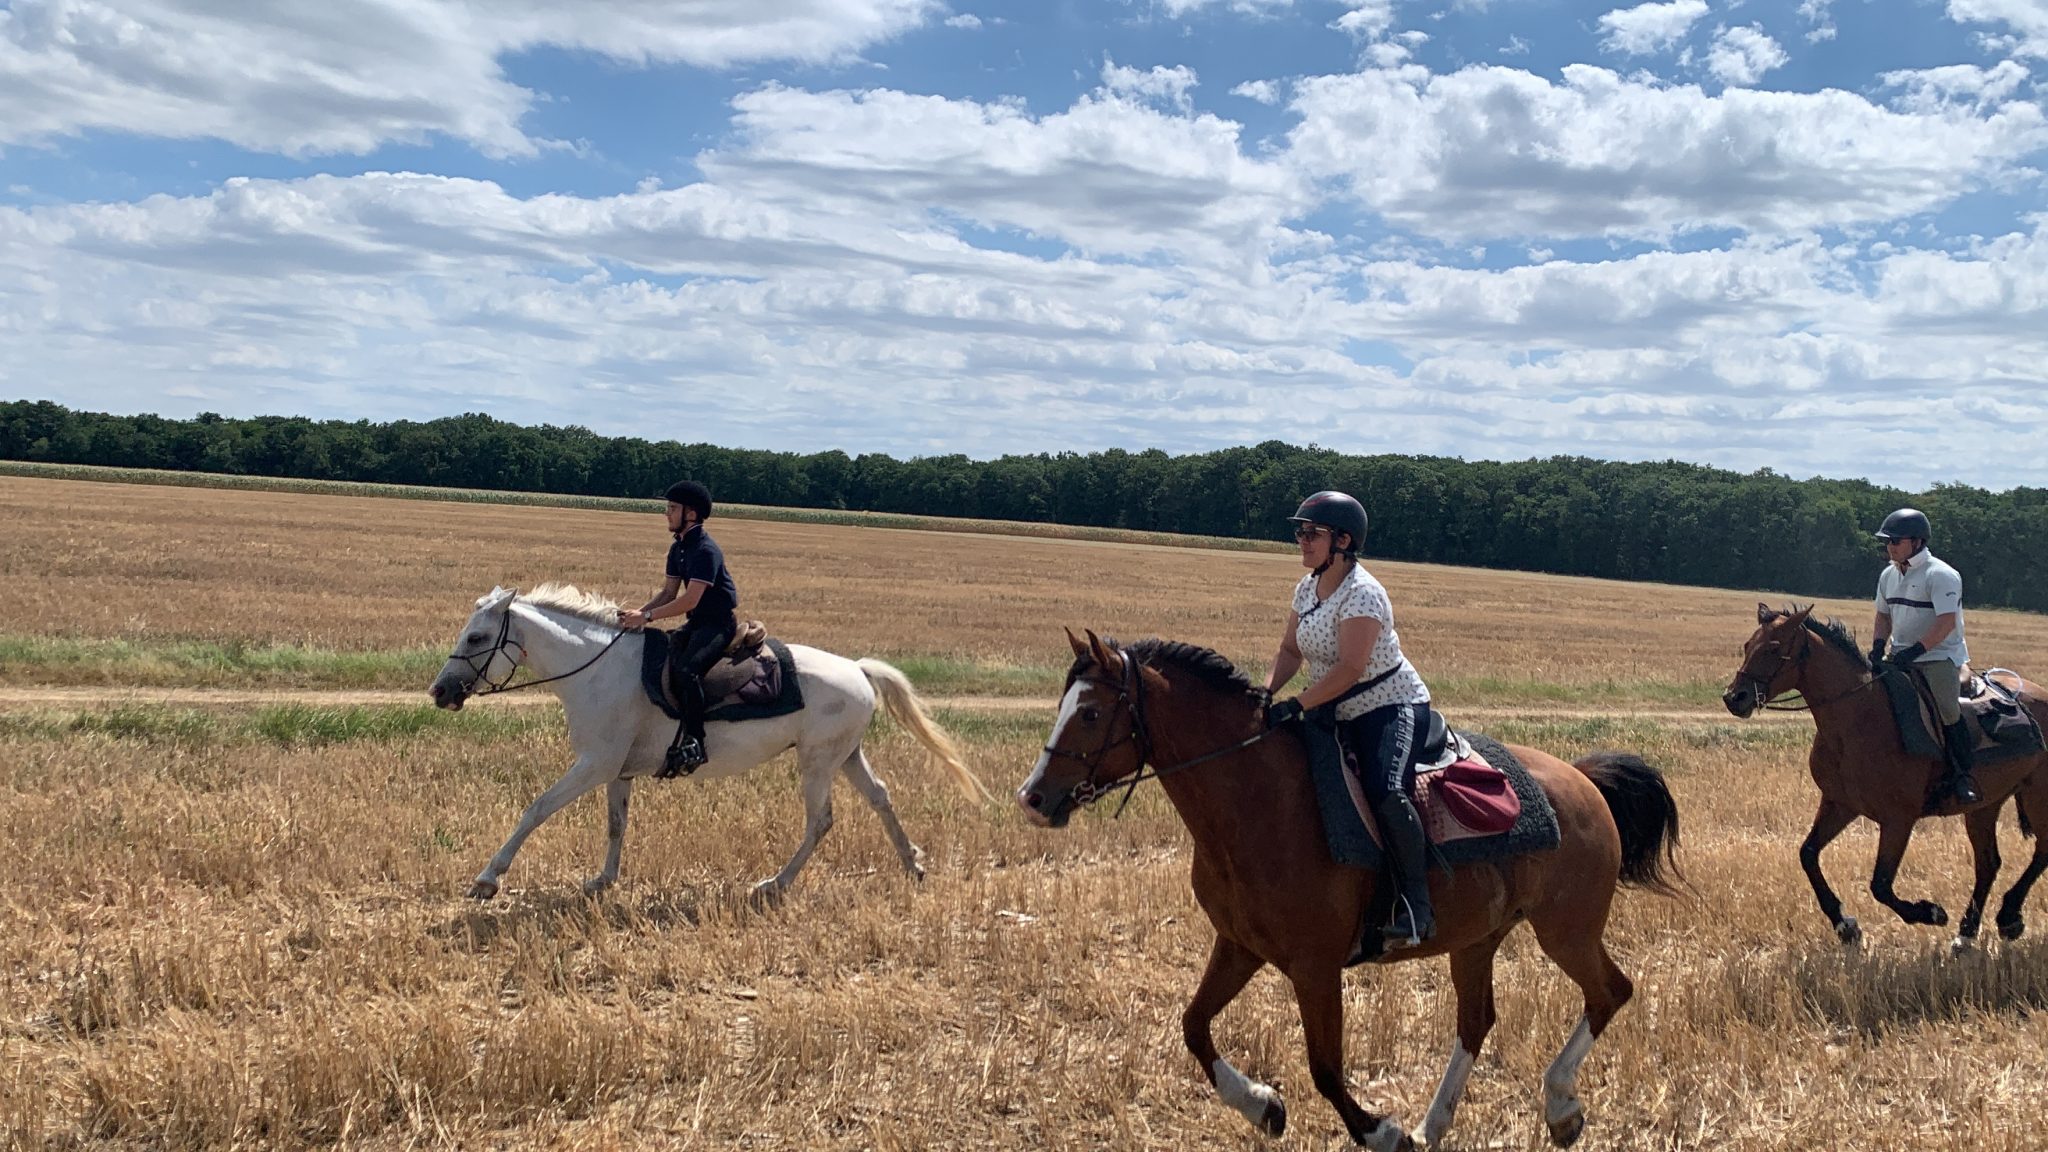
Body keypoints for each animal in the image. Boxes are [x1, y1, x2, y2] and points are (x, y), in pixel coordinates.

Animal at [427, 585, 987, 902]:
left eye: (477, 638)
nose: (440, 692)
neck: (598, 669)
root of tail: (857, 668)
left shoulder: (594, 764)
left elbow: (537, 808)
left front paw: (488, 878)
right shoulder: (617, 770)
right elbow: (616, 824)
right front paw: (603, 881)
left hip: (818, 761)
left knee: (821, 821)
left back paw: (775, 885)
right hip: (846, 755)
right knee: (881, 798)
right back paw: (912, 864)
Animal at [1016, 631, 1682, 1152]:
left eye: (1092, 714)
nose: (1033, 798)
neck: (1257, 800)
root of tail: (1583, 781)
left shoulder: (1315, 967)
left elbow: (1326, 1070)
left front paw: (1378, 1131)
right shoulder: (1239, 945)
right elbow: (1193, 1026)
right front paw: (1262, 1105)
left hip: (1566, 931)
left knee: (1610, 992)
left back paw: (1559, 1107)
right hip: (1477, 940)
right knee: (1476, 1021)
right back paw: (1435, 1125)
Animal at [1722, 603, 2048, 947]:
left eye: (1773, 648)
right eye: (1748, 645)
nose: (1734, 697)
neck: (1859, 717)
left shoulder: (1898, 820)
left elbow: (1880, 885)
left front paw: (1930, 912)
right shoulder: (1840, 804)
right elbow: (1808, 854)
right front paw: (1845, 924)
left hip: (2037, 795)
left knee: (2041, 851)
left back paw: (2009, 917)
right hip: (1984, 805)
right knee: (1988, 863)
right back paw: (1968, 932)